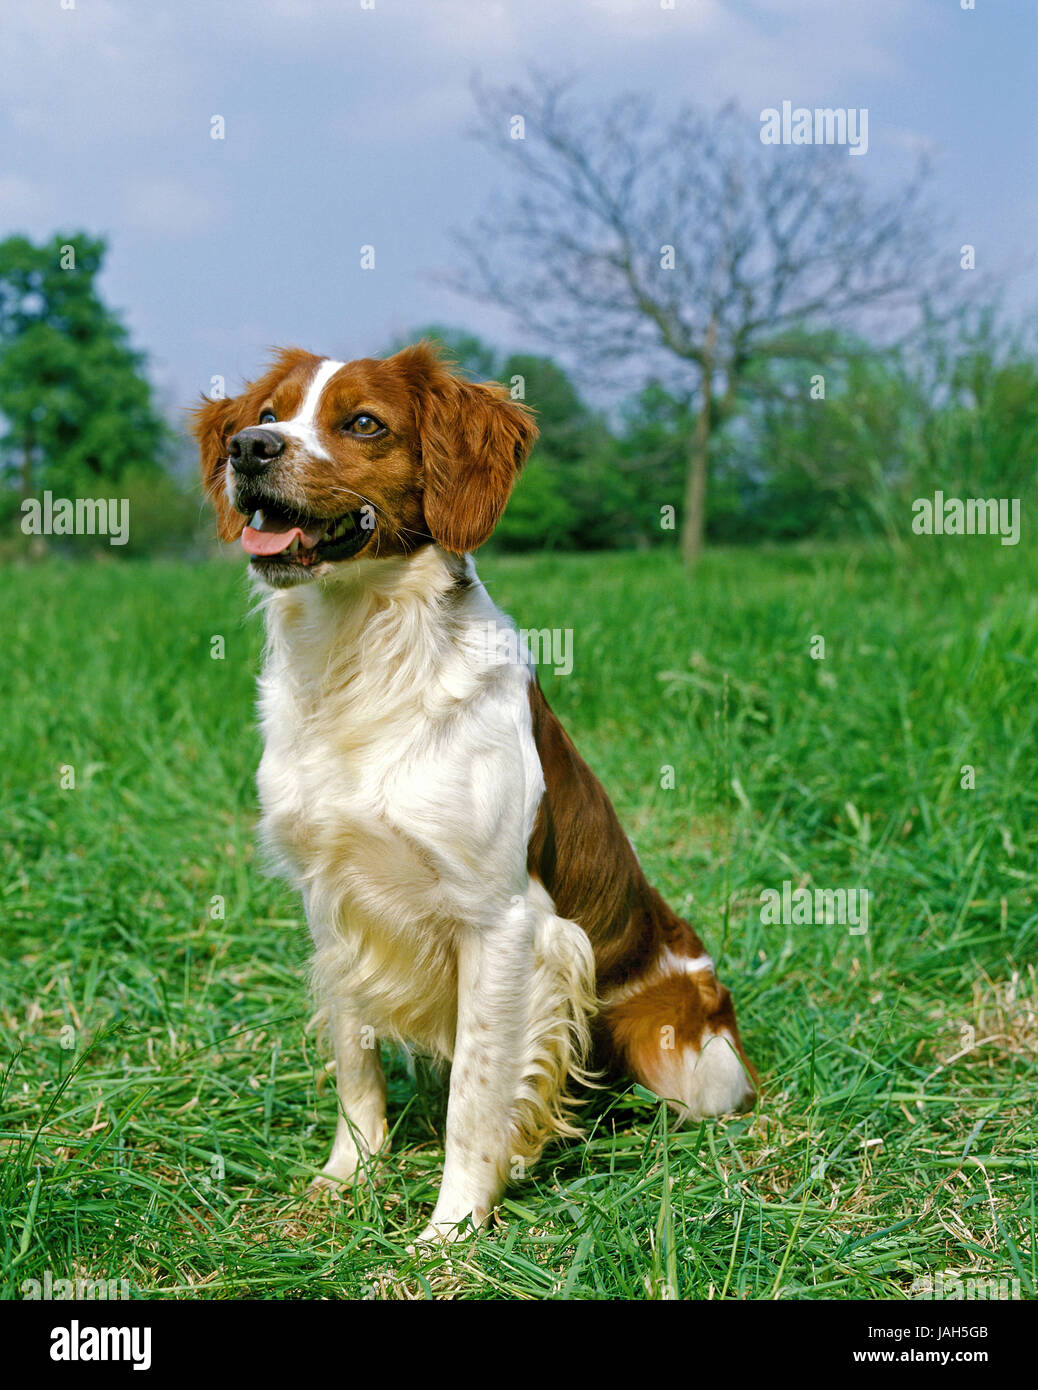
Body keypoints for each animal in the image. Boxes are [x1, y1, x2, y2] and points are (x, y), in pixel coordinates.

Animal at [193, 341, 755, 1245]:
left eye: (363, 423)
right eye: (270, 414)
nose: (248, 449)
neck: (363, 660)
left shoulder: (504, 925)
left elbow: (475, 1096)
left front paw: (451, 1229)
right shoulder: (331, 902)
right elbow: (353, 1058)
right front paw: (350, 1175)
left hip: (687, 1052)